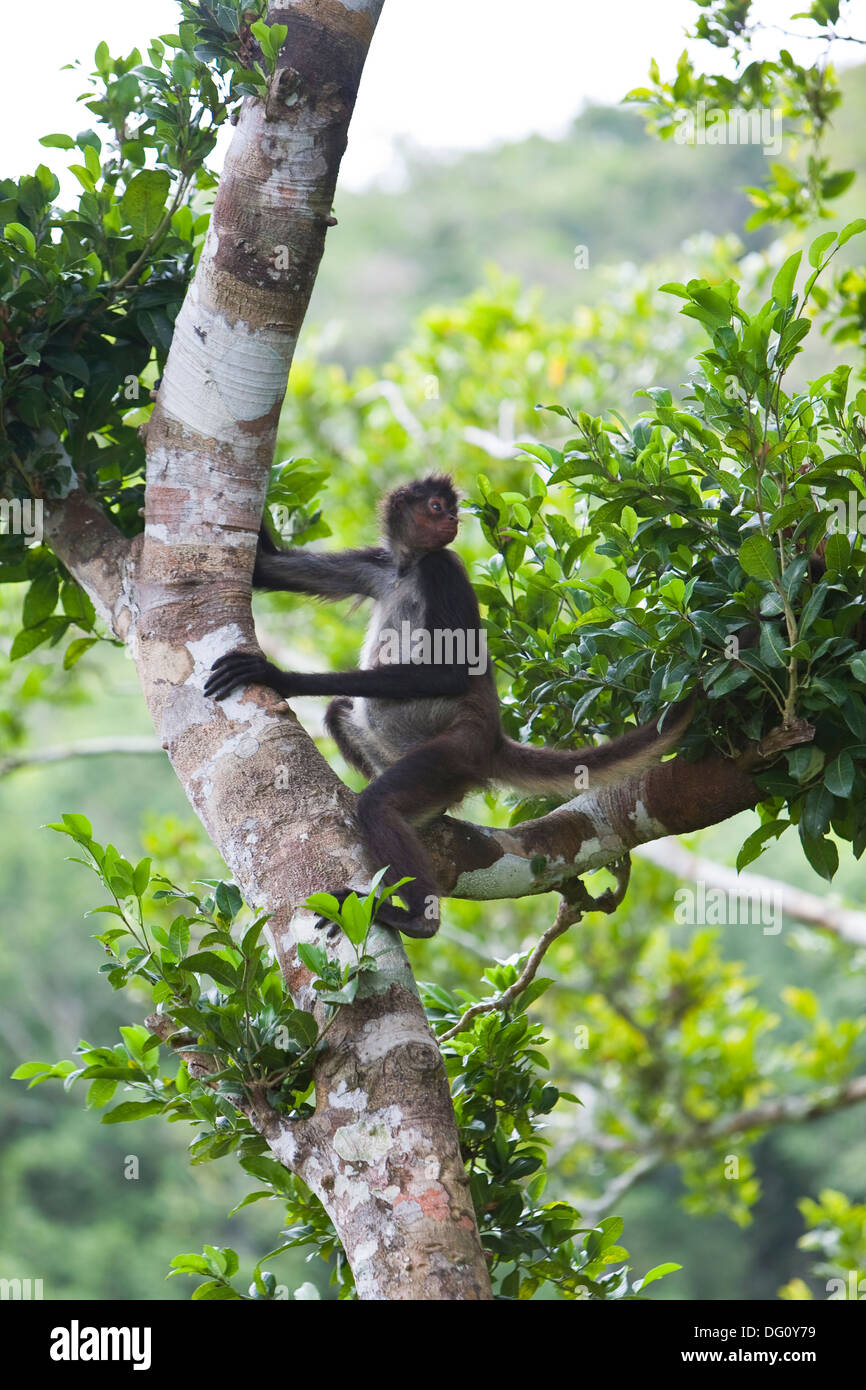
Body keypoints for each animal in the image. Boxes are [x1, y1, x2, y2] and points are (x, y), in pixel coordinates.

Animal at [205, 475, 693, 939]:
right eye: (438, 507)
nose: (454, 520)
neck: (409, 568)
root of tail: (491, 737)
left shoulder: (443, 568)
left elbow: (453, 672)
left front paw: (278, 676)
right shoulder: (376, 564)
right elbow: (267, 567)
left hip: (453, 751)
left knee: (379, 803)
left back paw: (417, 920)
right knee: (341, 712)